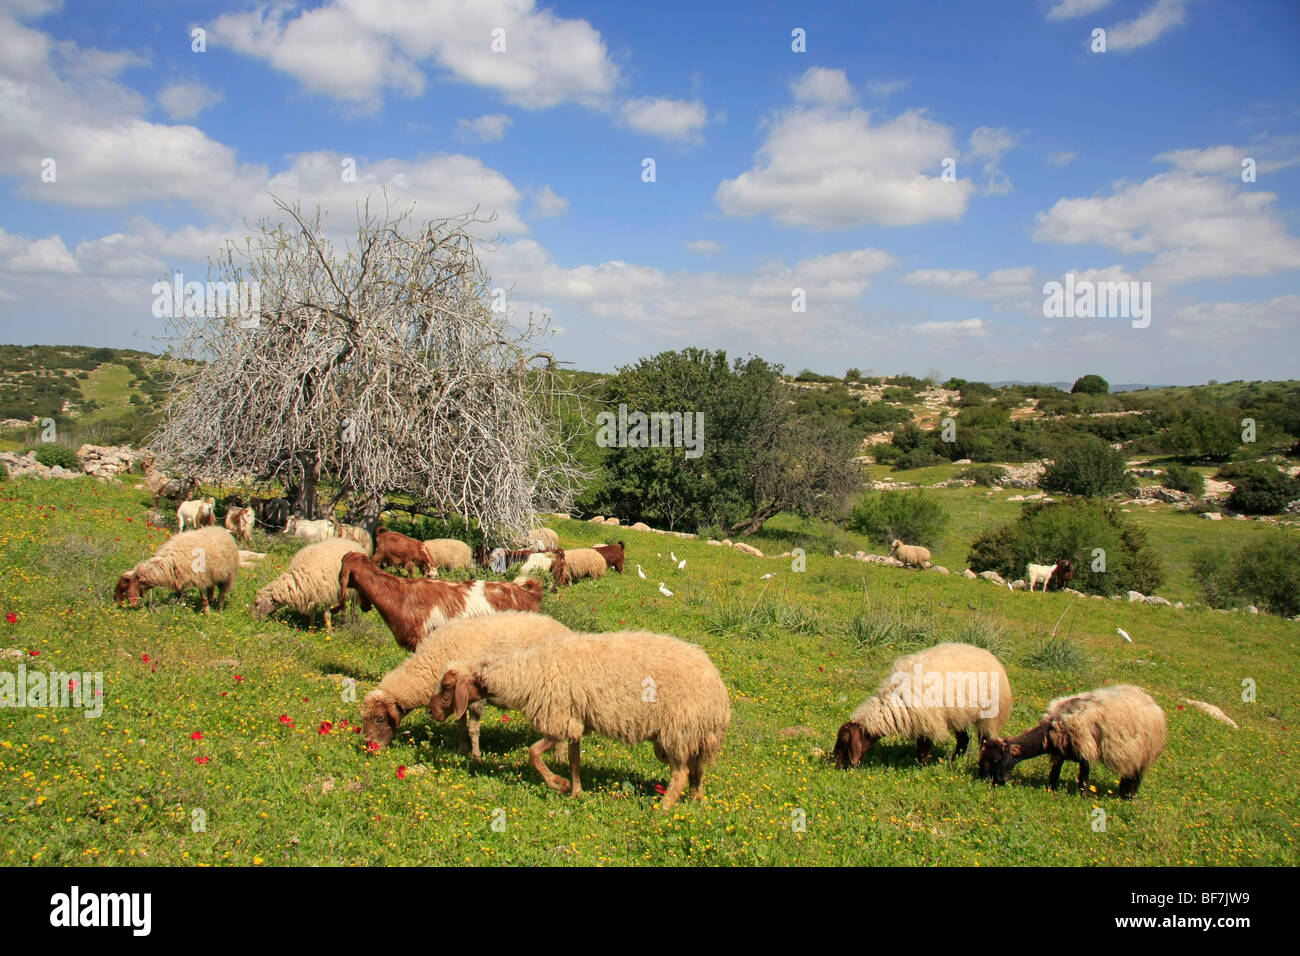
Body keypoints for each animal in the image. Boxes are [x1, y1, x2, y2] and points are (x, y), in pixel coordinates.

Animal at [362, 611, 573, 756]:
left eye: (380, 718)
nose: (369, 748)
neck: (433, 660)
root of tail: (566, 629)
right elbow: (460, 724)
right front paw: (461, 750)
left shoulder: (475, 697)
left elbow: (473, 728)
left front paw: (476, 756)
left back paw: (559, 755)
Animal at [430, 630, 731, 808]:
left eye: (447, 686)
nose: (432, 712)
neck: (524, 674)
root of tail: (718, 688)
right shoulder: (573, 720)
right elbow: (574, 759)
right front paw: (576, 791)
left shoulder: (558, 718)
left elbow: (533, 753)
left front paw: (559, 784)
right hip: (695, 732)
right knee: (696, 769)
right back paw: (695, 800)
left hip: (679, 728)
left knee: (680, 774)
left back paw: (663, 808)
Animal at [832, 642, 1012, 767]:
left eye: (844, 744)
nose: (837, 765)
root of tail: (989, 655)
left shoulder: (926, 721)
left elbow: (923, 748)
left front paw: (921, 766)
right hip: (958, 714)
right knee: (963, 739)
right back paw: (954, 760)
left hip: (988, 714)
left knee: (984, 739)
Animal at [977, 684, 1166, 799]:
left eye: (995, 760)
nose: (983, 780)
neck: (1052, 726)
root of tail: (1152, 702)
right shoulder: (1060, 750)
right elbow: (1054, 773)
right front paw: (1051, 789)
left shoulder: (1085, 748)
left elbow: (1083, 778)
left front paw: (1083, 796)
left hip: (1141, 749)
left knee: (1135, 775)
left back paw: (1127, 797)